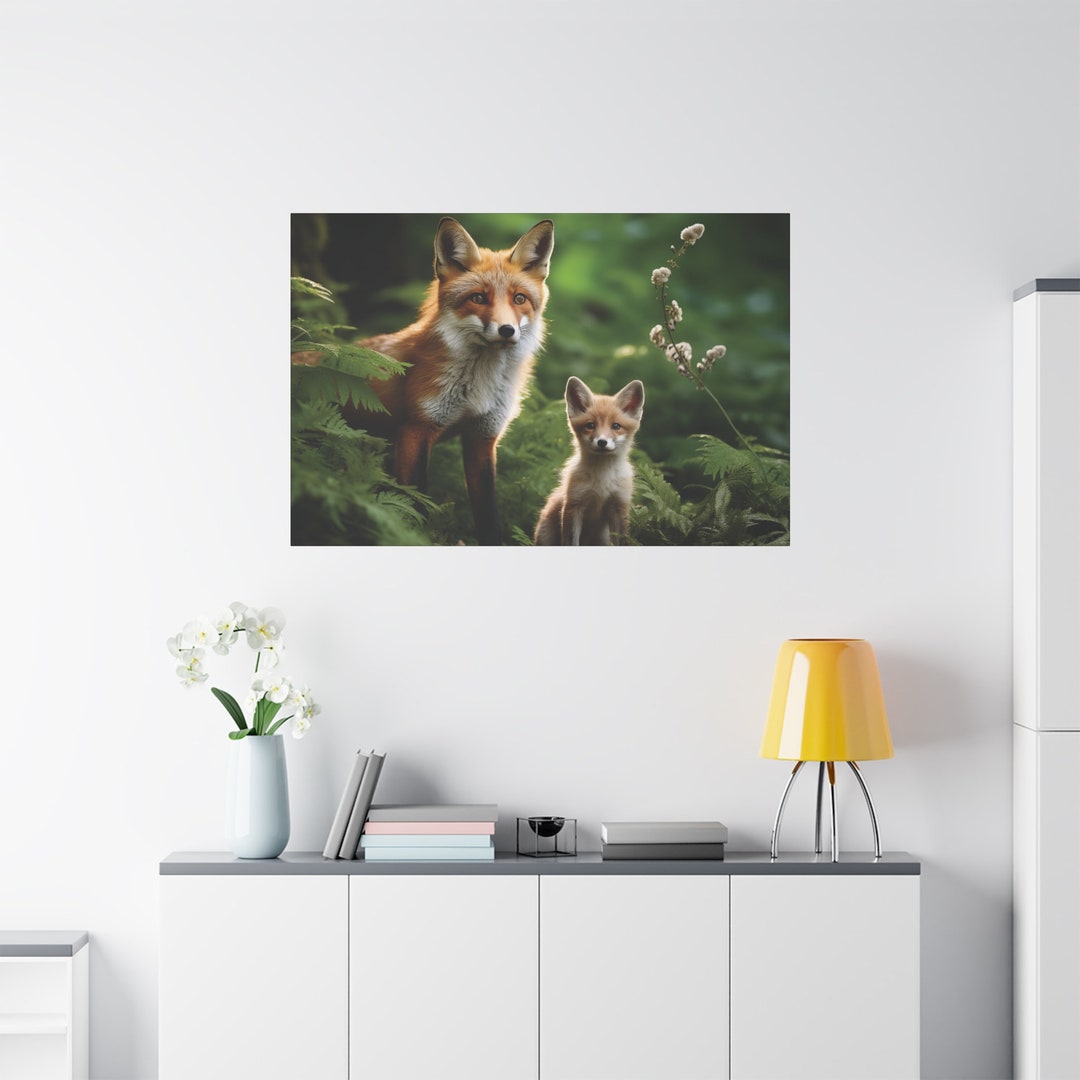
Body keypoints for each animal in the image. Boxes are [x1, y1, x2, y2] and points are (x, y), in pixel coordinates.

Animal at [325, 217, 554, 546]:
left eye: (519, 299)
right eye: (478, 298)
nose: (507, 330)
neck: (478, 388)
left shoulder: (482, 437)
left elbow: (488, 514)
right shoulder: (416, 429)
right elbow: (415, 502)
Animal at [533, 376, 645, 546]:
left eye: (616, 426)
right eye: (590, 425)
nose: (602, 442)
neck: (602, 479)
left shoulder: (619, 506)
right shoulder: (574, 505)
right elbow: (571, 543)